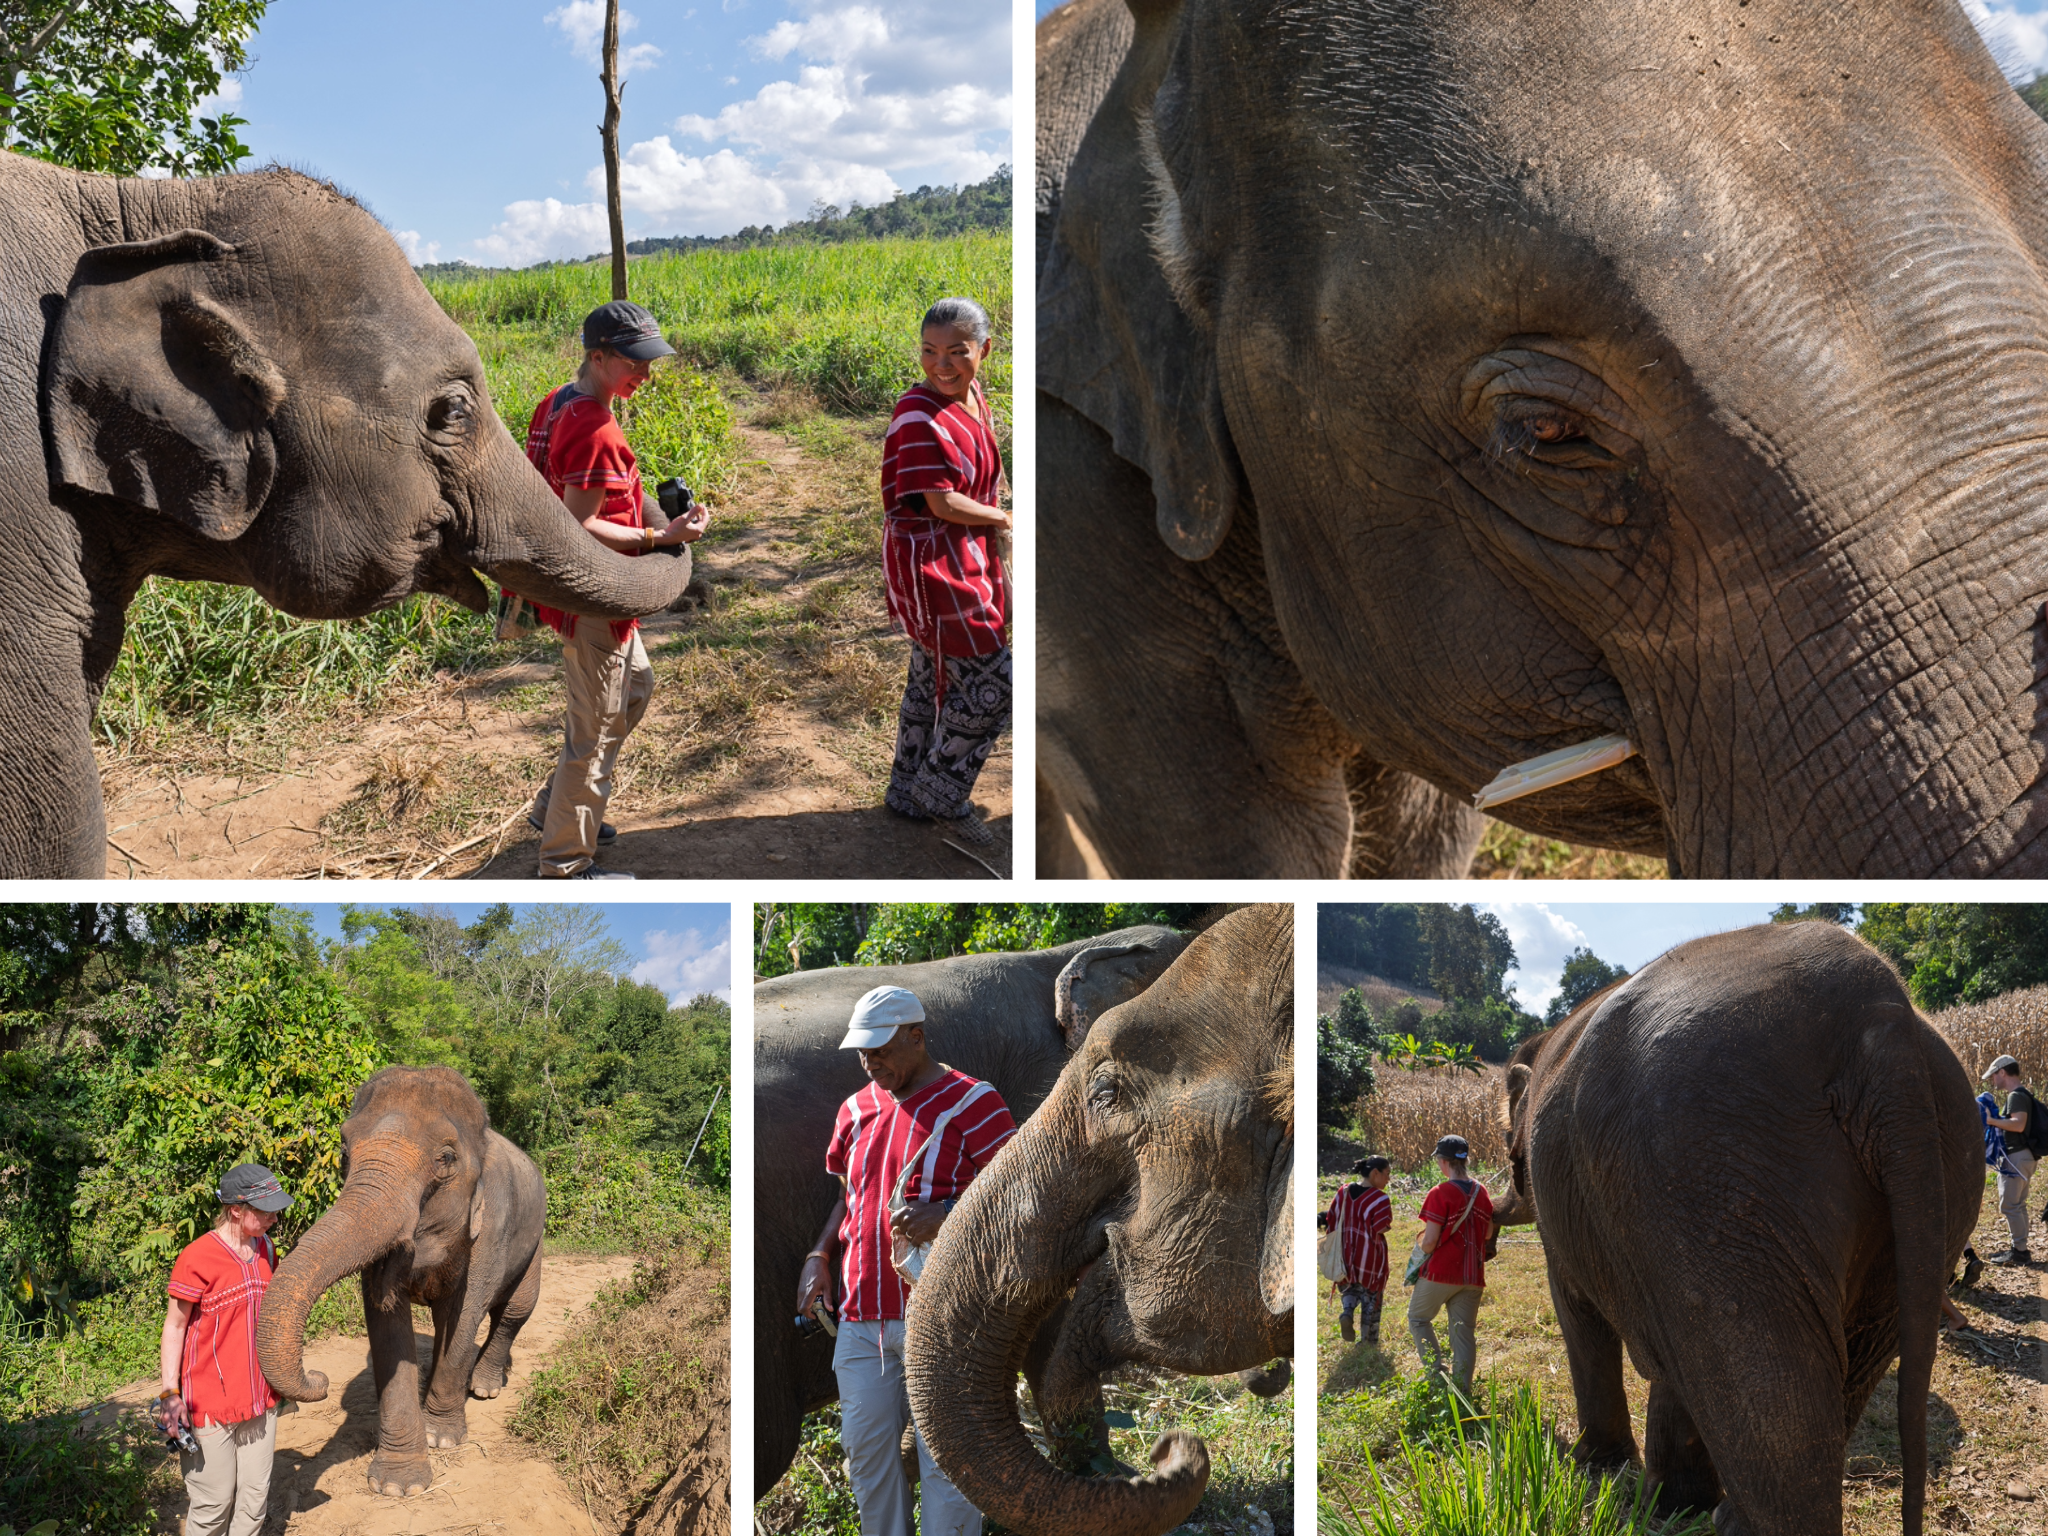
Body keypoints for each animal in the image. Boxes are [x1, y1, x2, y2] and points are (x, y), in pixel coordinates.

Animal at [255, 1065, 548, 1498]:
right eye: (344, 1151)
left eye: (446, 1159)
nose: (319, 1378)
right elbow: (386, 1320)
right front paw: (397, 1485)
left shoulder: (493, 1226)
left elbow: (466, 1315)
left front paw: (441, 1440)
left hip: (536, 1236)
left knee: (514, 1311)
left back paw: (482, 1389)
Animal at [1489, 922, 1980, 1536]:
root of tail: (1877, 1015)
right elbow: (1678, 1363)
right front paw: (1672, 1505)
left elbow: (1580, 1311)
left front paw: (1598, 1468)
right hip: (1945, 1163)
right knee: (1852, 1355)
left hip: (1703, 1171)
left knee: (1770, 1389)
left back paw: (1731, 1521)